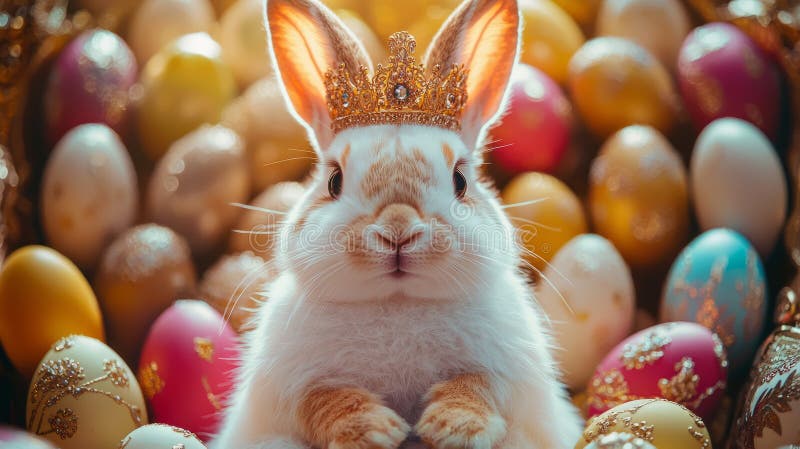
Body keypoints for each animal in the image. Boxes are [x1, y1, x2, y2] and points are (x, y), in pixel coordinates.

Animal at [209, 0, 584, 448]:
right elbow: (325, 397)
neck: (398, 303)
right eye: (334, 181)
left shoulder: (504, 370)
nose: (398, 231)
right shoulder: (292, 386)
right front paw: (374, 430)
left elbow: (476, 385)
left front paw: (455, 428)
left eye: (460, 180)